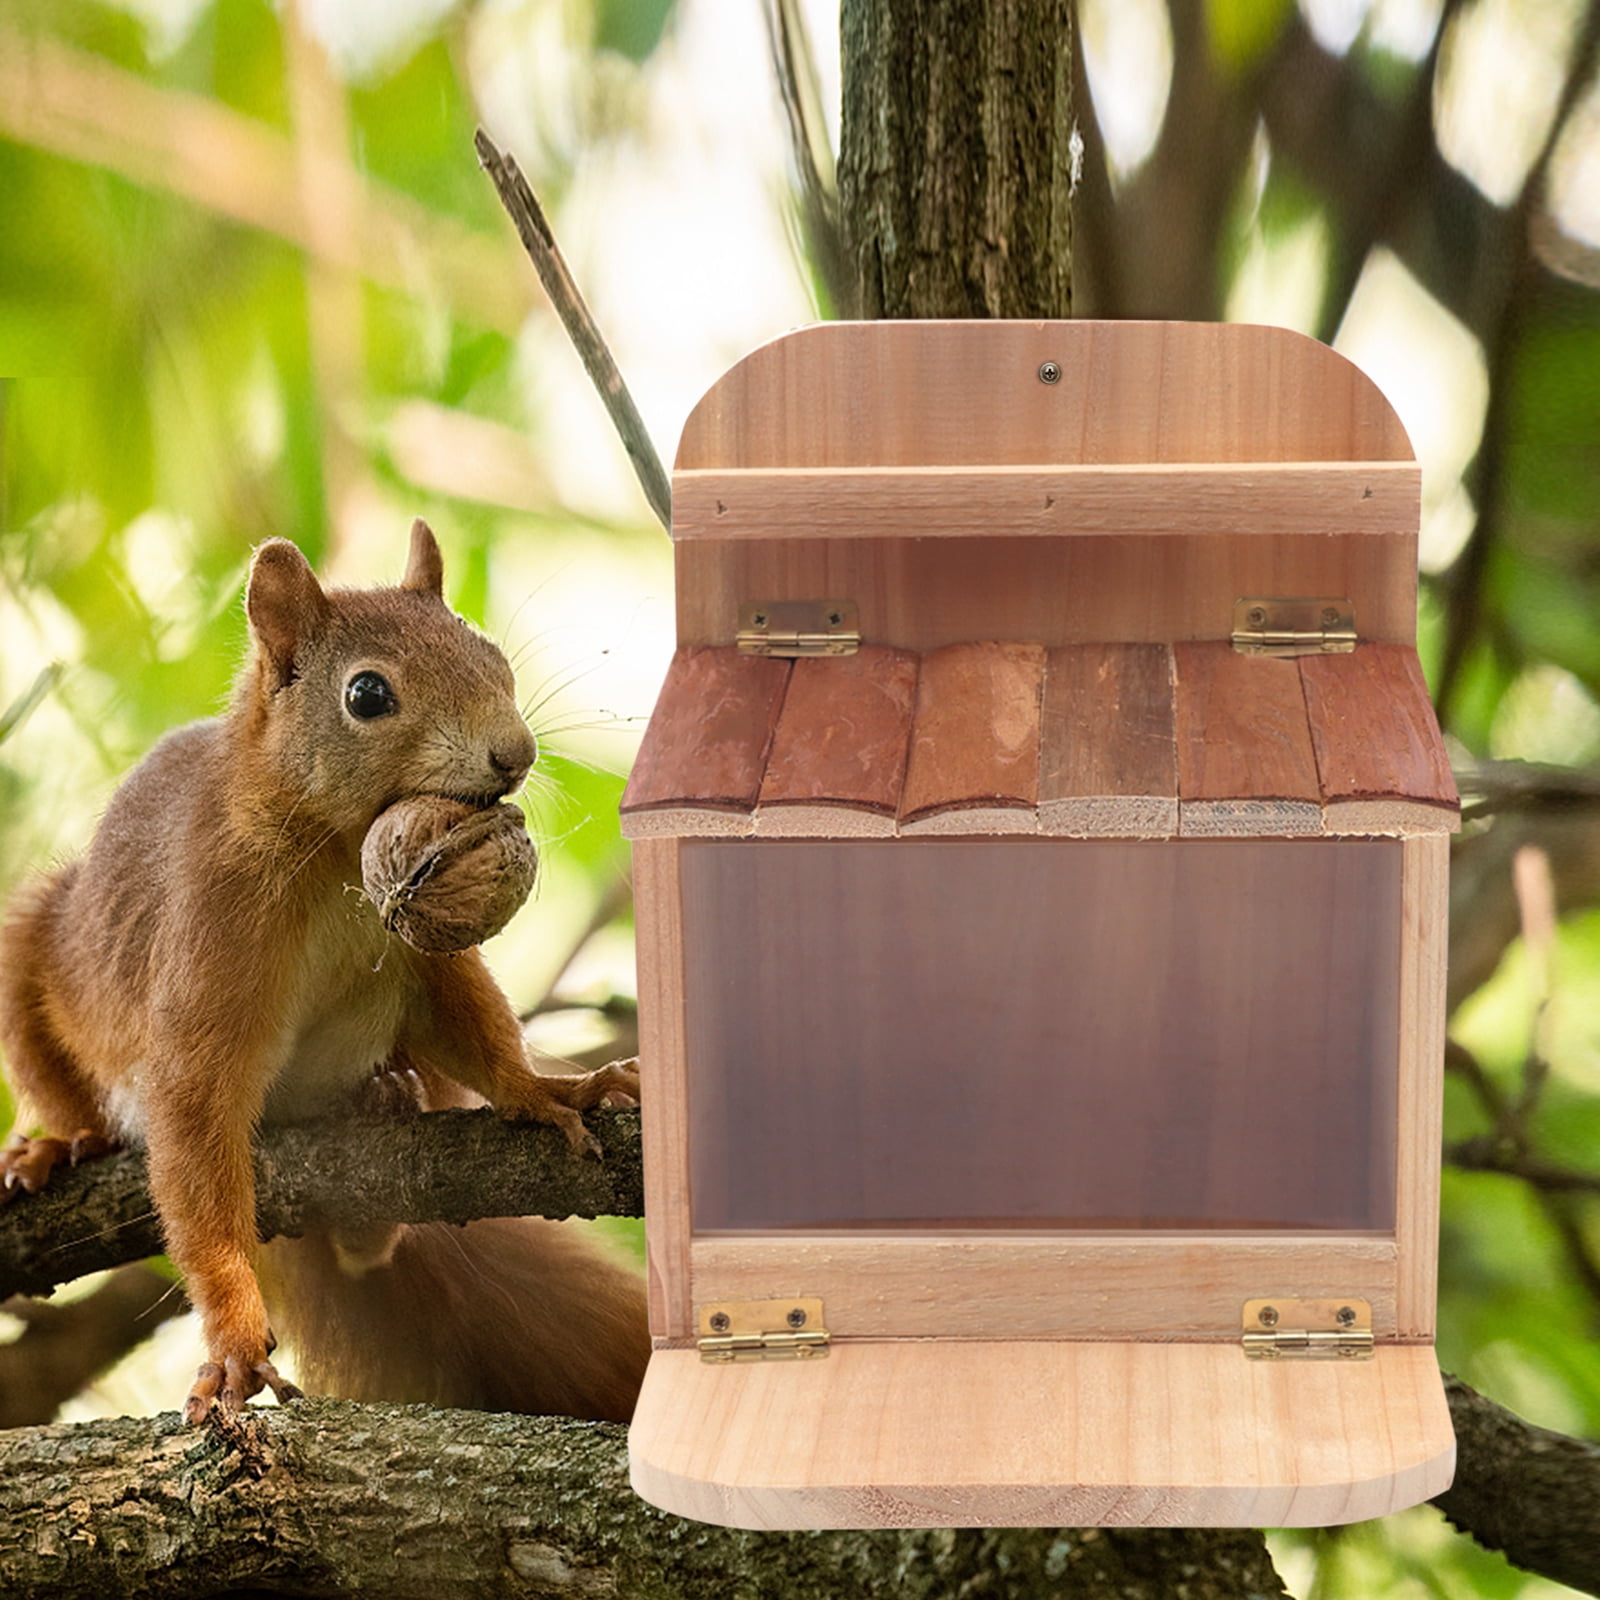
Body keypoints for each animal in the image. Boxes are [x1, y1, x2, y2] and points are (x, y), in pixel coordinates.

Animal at [0, 519, 648, 1424]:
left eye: (493, 657)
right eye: (367, 695)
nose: (515, 754)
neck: (340, 856)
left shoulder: (420, 948)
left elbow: (475, 1030)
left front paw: (553, 1091)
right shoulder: (207, 939)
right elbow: (195, 1124)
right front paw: (234, 1336)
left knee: (370, 1242)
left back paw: (384, 1100)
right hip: (35, 952)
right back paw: (63, 1145)